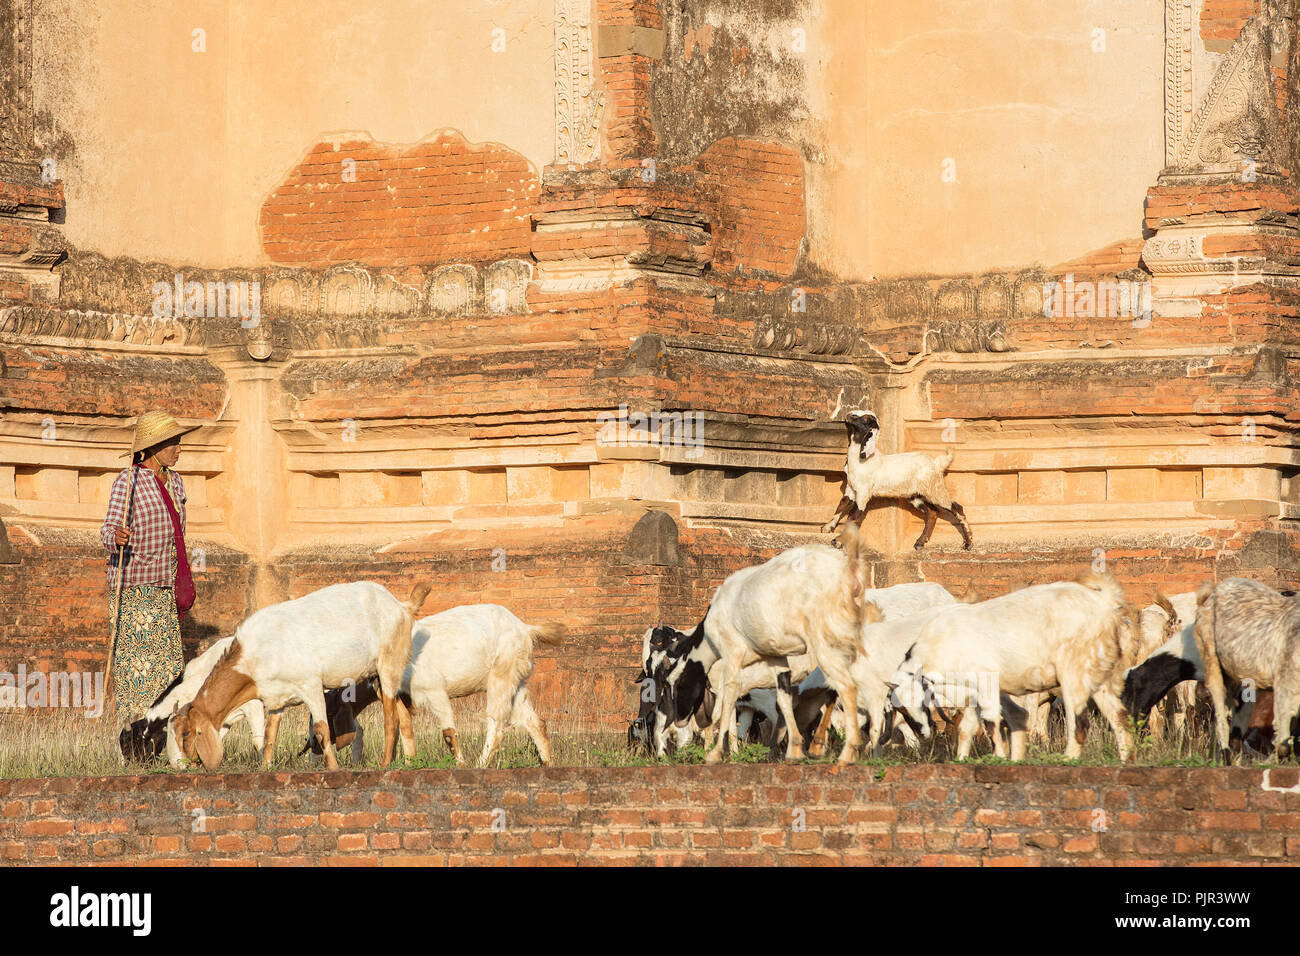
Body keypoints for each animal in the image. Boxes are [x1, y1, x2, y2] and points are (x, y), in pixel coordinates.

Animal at [172, 580, 430, 770]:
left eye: (186, 733)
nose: (187, 764)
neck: (254, 653)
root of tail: (402, 606)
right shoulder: (276, 697)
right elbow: (270, 734)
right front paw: (265, 768)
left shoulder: (311, 685)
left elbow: (322, 729)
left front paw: (333, 768)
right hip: (375, 677)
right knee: (405, 717)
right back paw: (410, 762)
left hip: (389, 665)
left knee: (392, 719)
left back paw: (385, 764)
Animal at [822, 409, 972, 550]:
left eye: (866, 420)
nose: (849, 414)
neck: (861, 460)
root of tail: (936, 464)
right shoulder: (850, 490)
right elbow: (840, 507)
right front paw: (827, 527)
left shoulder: (863, 494)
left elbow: (851, 518)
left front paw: (838, 541)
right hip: (916, 495)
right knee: (933, 513)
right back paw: (920, 542)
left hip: (935, 490)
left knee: (956, 507)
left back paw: (968, 543)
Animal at [888, 571, 1141, 761]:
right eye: (901, 709)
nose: (924, 733)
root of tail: (1104, 603)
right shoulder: (974, 693)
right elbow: (969, 727)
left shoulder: (985, 683)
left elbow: (992, 724)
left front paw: (999, 758)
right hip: (1100, 673)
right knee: (1119, 716)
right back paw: (1126, 759)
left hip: (1074, 673)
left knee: (1079, 723)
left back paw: (1067, 759)